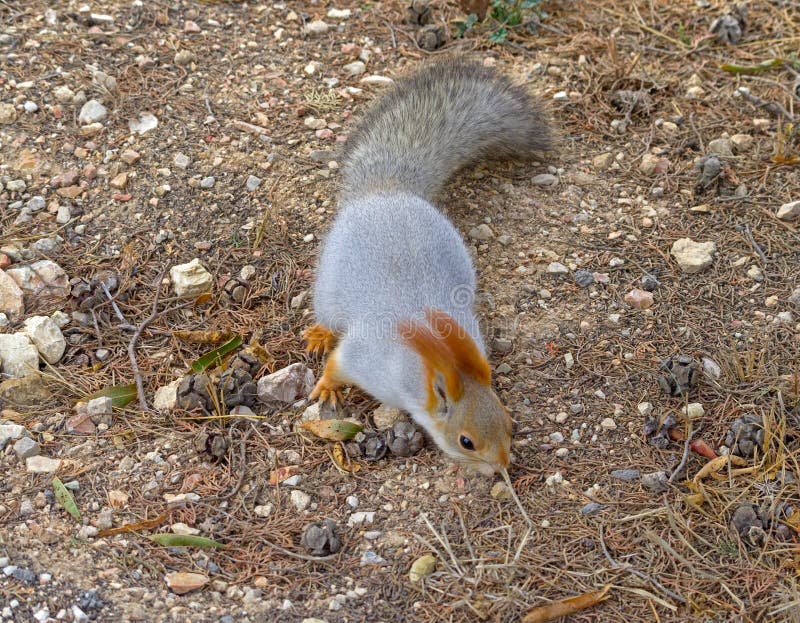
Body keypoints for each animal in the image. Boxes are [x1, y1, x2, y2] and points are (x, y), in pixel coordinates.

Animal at [304, 57, 553, 476]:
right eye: (466, 441)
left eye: (509, 421)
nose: (502, 466)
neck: (437, 358)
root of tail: (388, 192)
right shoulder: (367, 360)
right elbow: (338, 364)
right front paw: (326, 386)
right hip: (329, 286)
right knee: (326, 314)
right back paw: (320, 333)